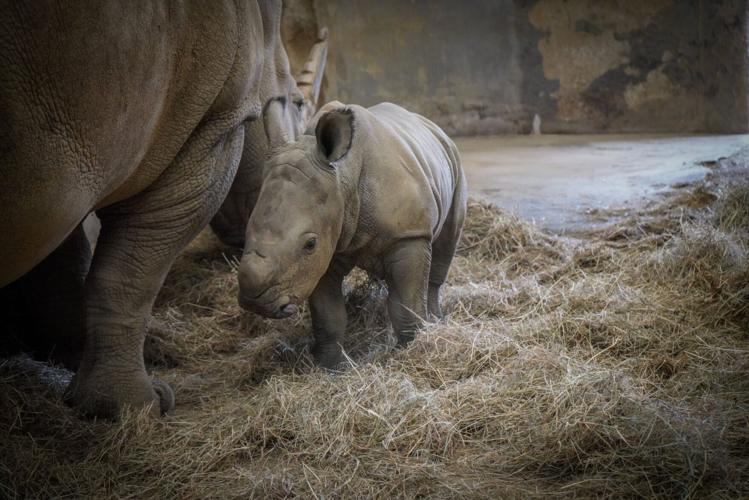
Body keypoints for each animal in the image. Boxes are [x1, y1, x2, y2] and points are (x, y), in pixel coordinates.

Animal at [0, 0, 326, 417]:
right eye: (297, 105)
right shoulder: (213, 125)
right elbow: (133, 272)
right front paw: (134, 405)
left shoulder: (63, 176)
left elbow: (65, 263)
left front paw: (79, 363)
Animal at [237, 101, 467, 368]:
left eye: (309, 244)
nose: (255, 302)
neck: (343, 179)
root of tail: (431, 125)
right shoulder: (326, 249)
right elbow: (329, 316)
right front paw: (332, 366)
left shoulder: (409, 236)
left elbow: (407, 305)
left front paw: (409, 352)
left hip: (454, 161)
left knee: (446, 244)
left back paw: (435, 320)